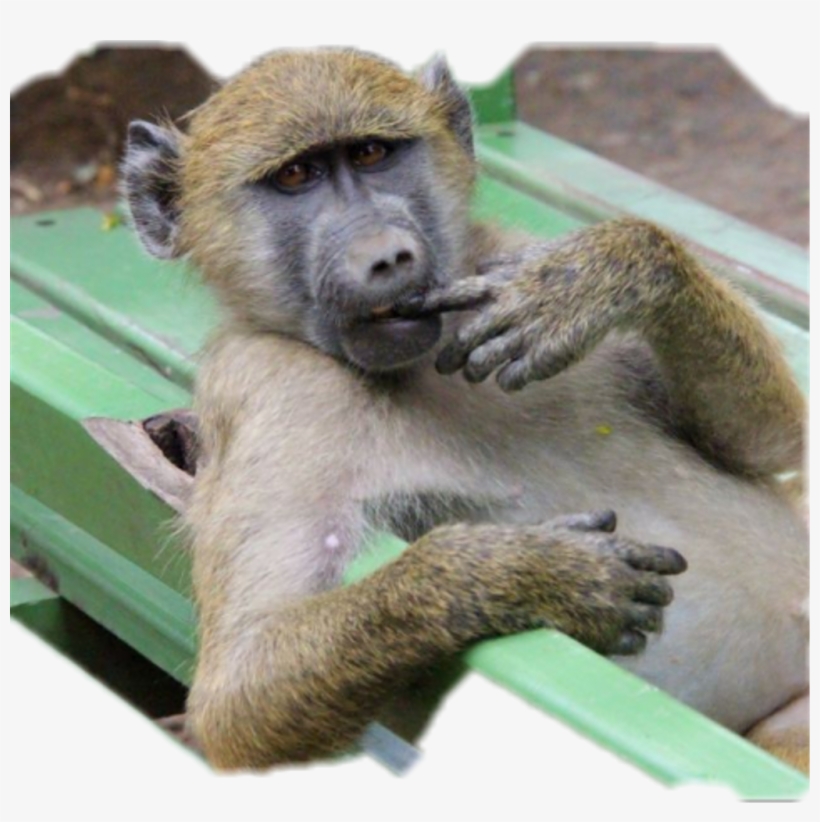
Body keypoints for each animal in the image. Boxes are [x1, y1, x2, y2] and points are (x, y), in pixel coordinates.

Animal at [121, 48, 808, 771]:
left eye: (371, 153)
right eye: (296, 176)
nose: (386, 254)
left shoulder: (498, 257)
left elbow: (772, 442)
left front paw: (595, 276)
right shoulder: (266, 387)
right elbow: (237, 696)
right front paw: (533, 572)